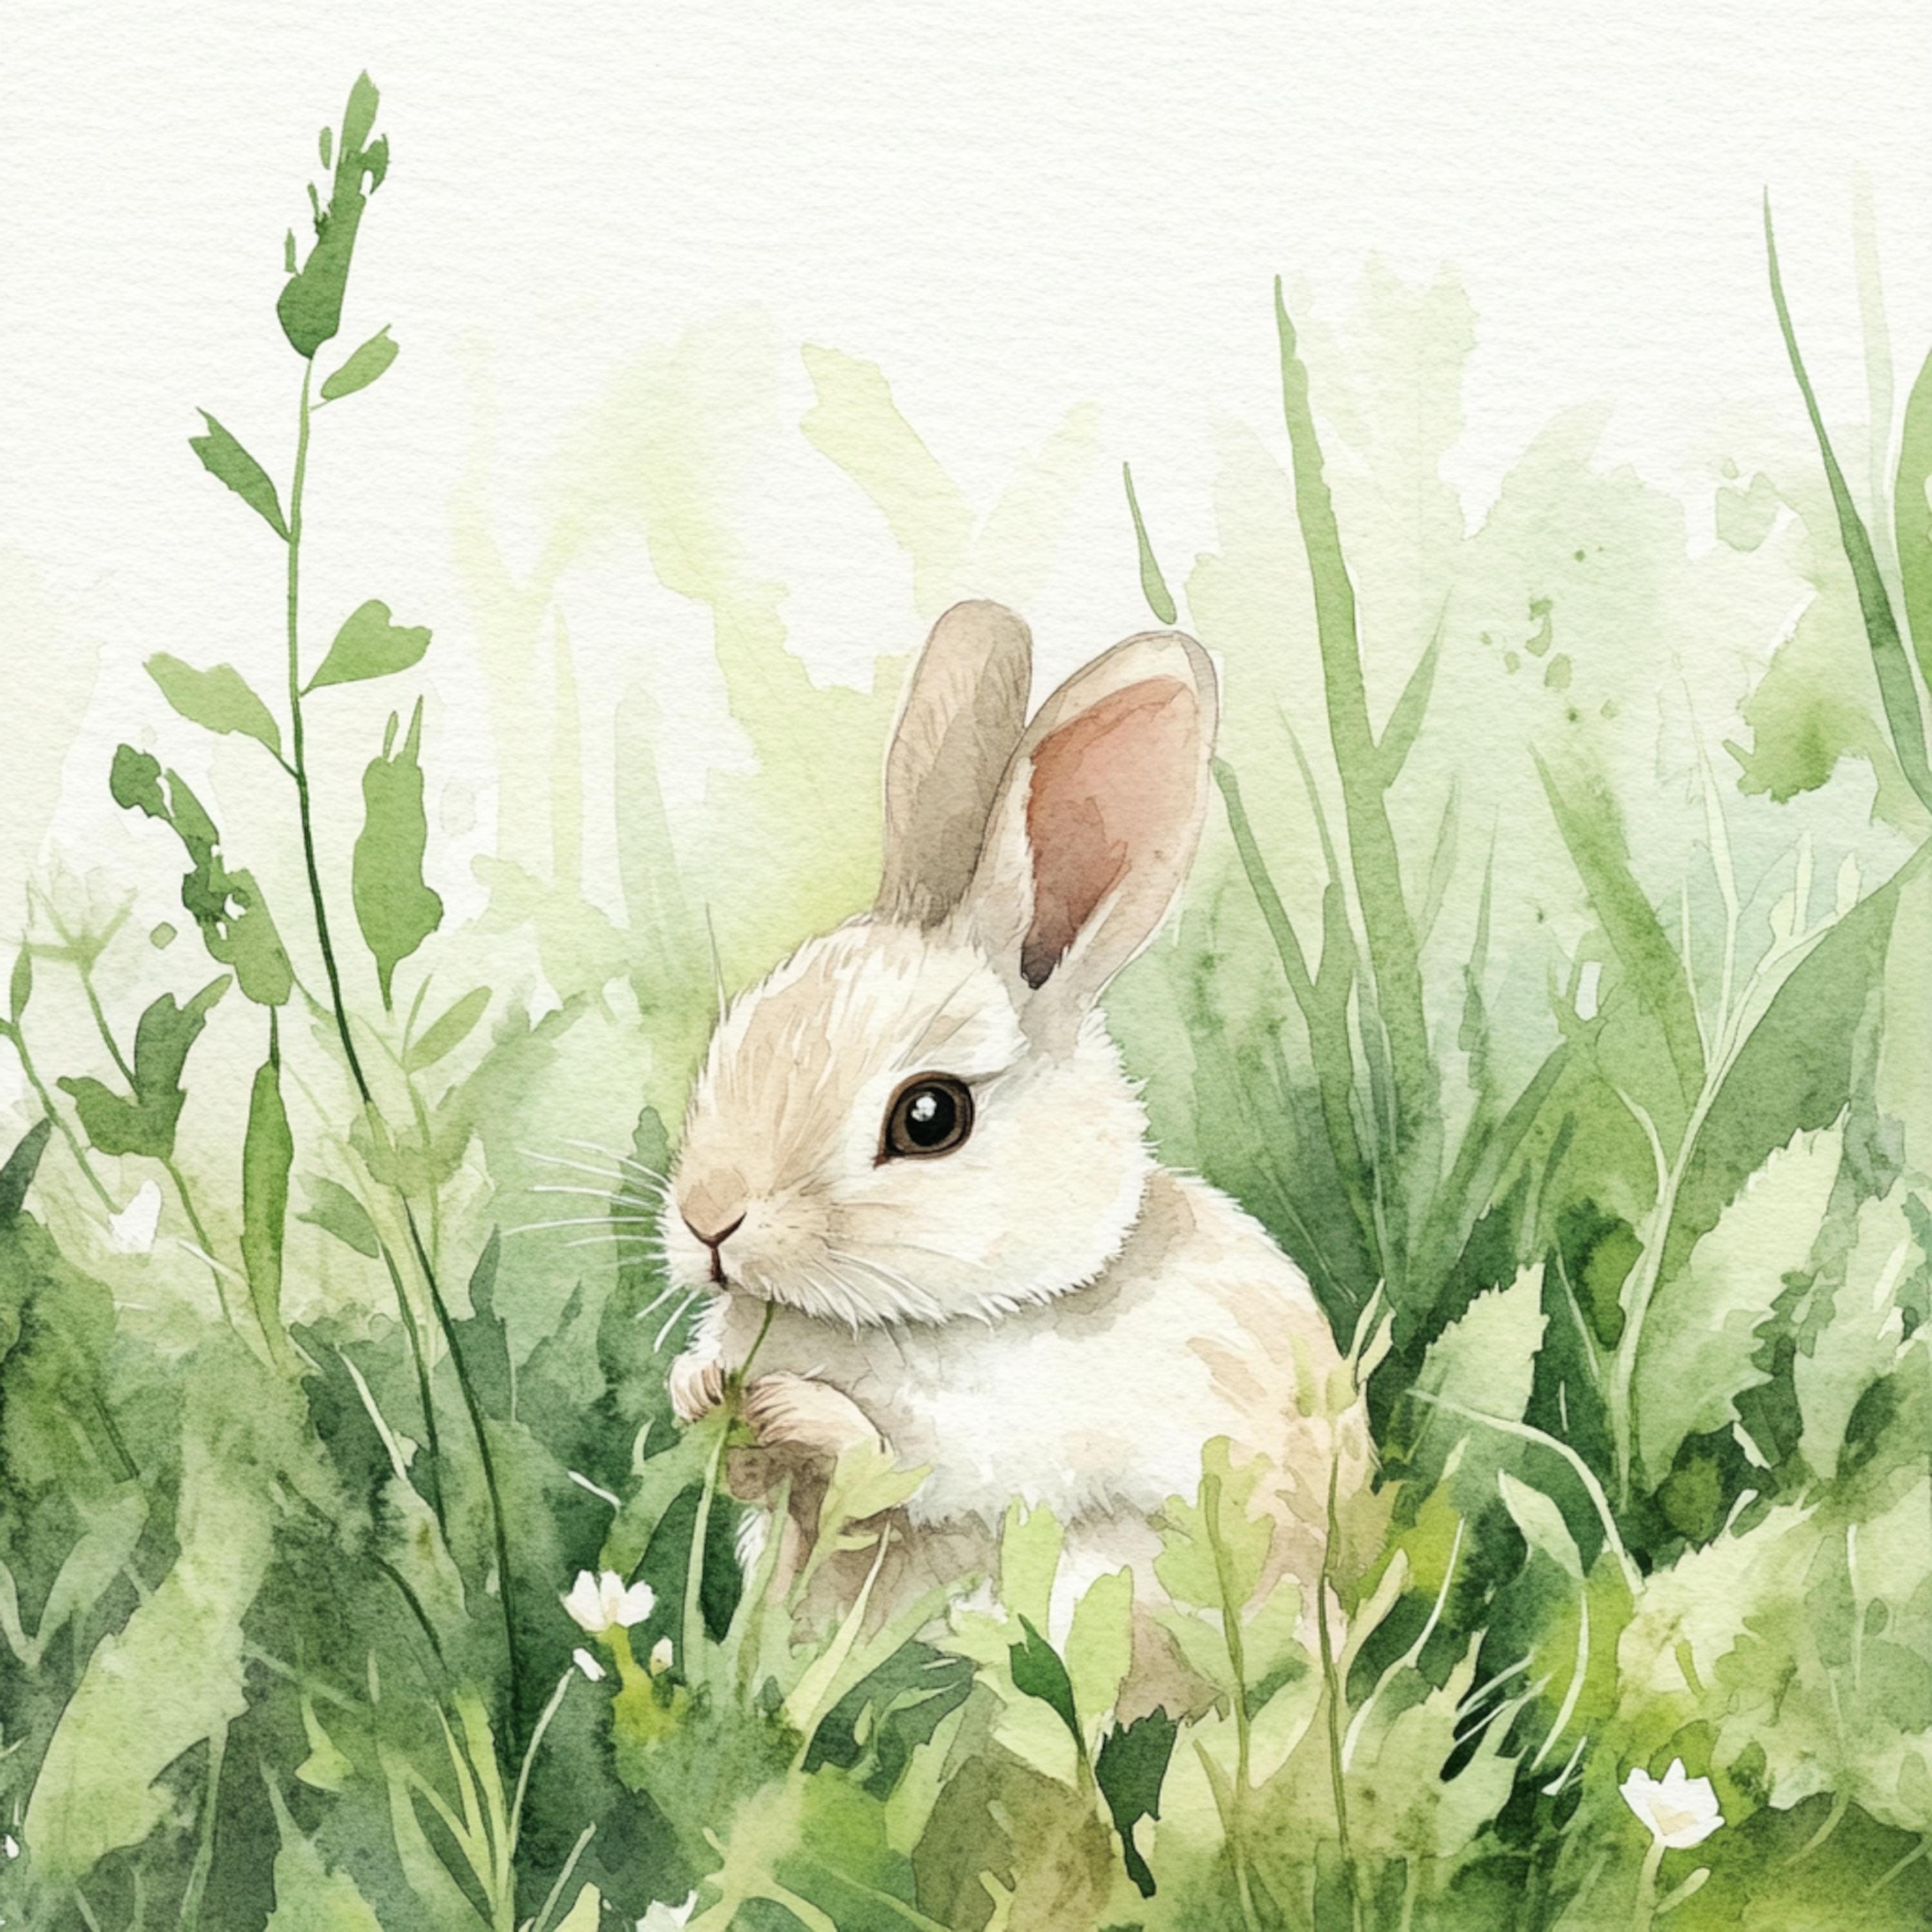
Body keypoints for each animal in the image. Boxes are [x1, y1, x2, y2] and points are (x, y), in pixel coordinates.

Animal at [663, 600, 1369, 1651]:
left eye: (929, 1117)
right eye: (731, 1041)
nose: (710, 1221)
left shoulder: (1003, 1440)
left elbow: (893, 1467)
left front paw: (796, 1408)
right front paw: (701, 1390)